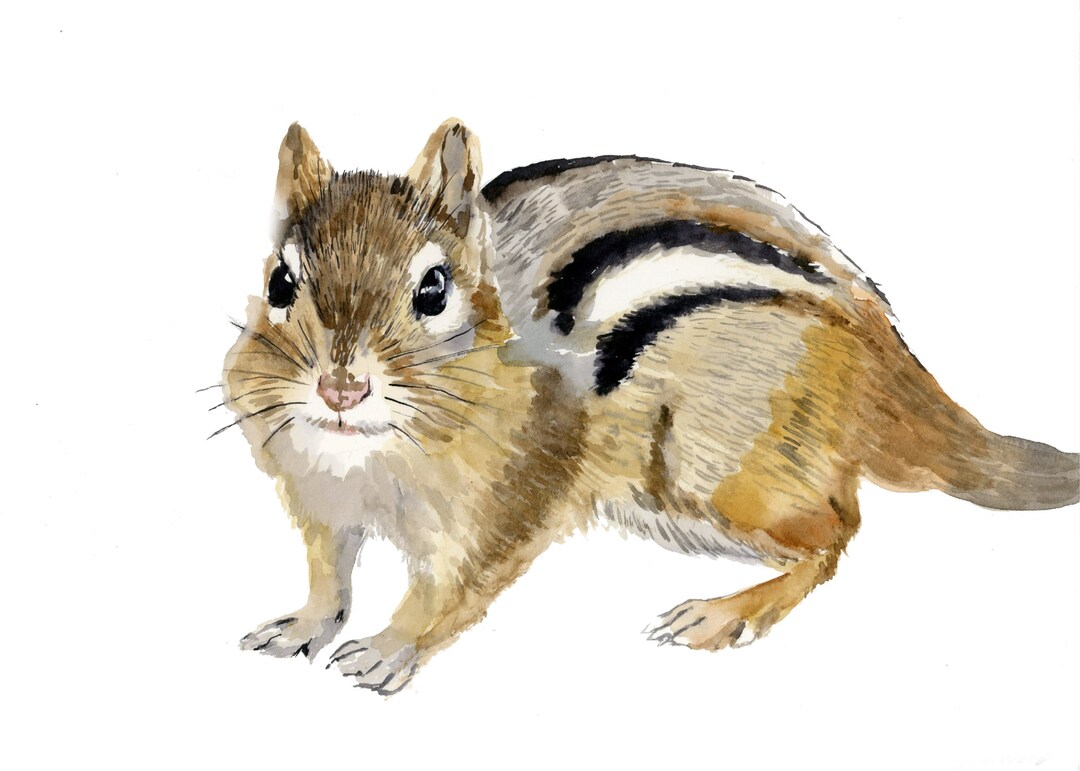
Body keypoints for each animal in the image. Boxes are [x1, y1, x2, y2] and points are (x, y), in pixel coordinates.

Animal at [218, 118, 1079, 694]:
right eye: (280, 283)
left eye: (433, 290)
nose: (340, 387)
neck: (365, 455)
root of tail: (887, 362)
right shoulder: (320, 502)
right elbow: (328, 577)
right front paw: (302, 624)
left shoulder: (505, 506)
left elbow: (446, 591)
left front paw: (391, 646)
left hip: (711, 468)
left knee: (838, 531)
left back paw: (724, 612)